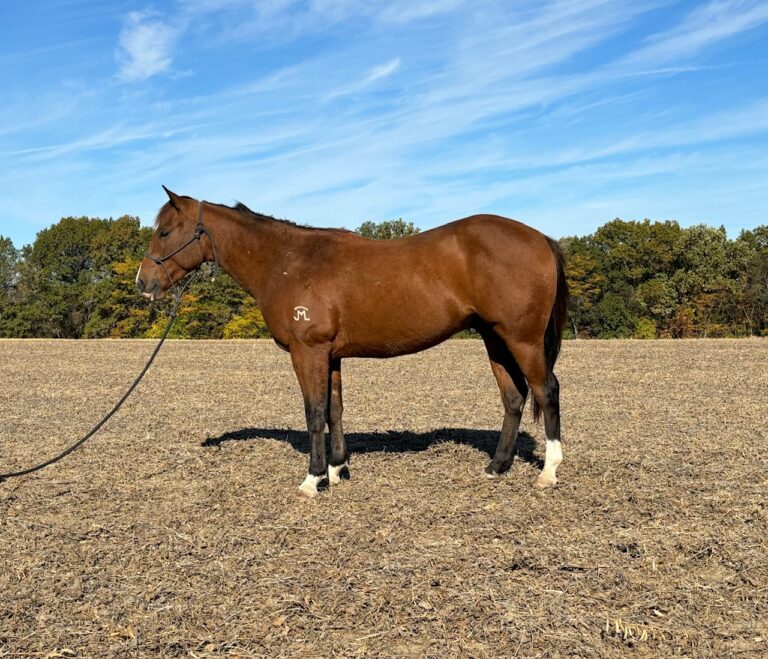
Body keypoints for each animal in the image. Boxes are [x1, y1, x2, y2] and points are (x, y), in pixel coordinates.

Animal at [136, 187, 568, 497]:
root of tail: (540, 238)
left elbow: (314, 413)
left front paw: (312, 480)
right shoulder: (330, 355)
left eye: (164, 232)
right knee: (513, 398)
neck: (288, 261)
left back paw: (548, 473)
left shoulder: (307, 352)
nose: (144, 283)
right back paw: (497, 467)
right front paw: (337, 469)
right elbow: (335, 411)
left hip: (523, 340)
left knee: (546, 390)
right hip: (495, 339)